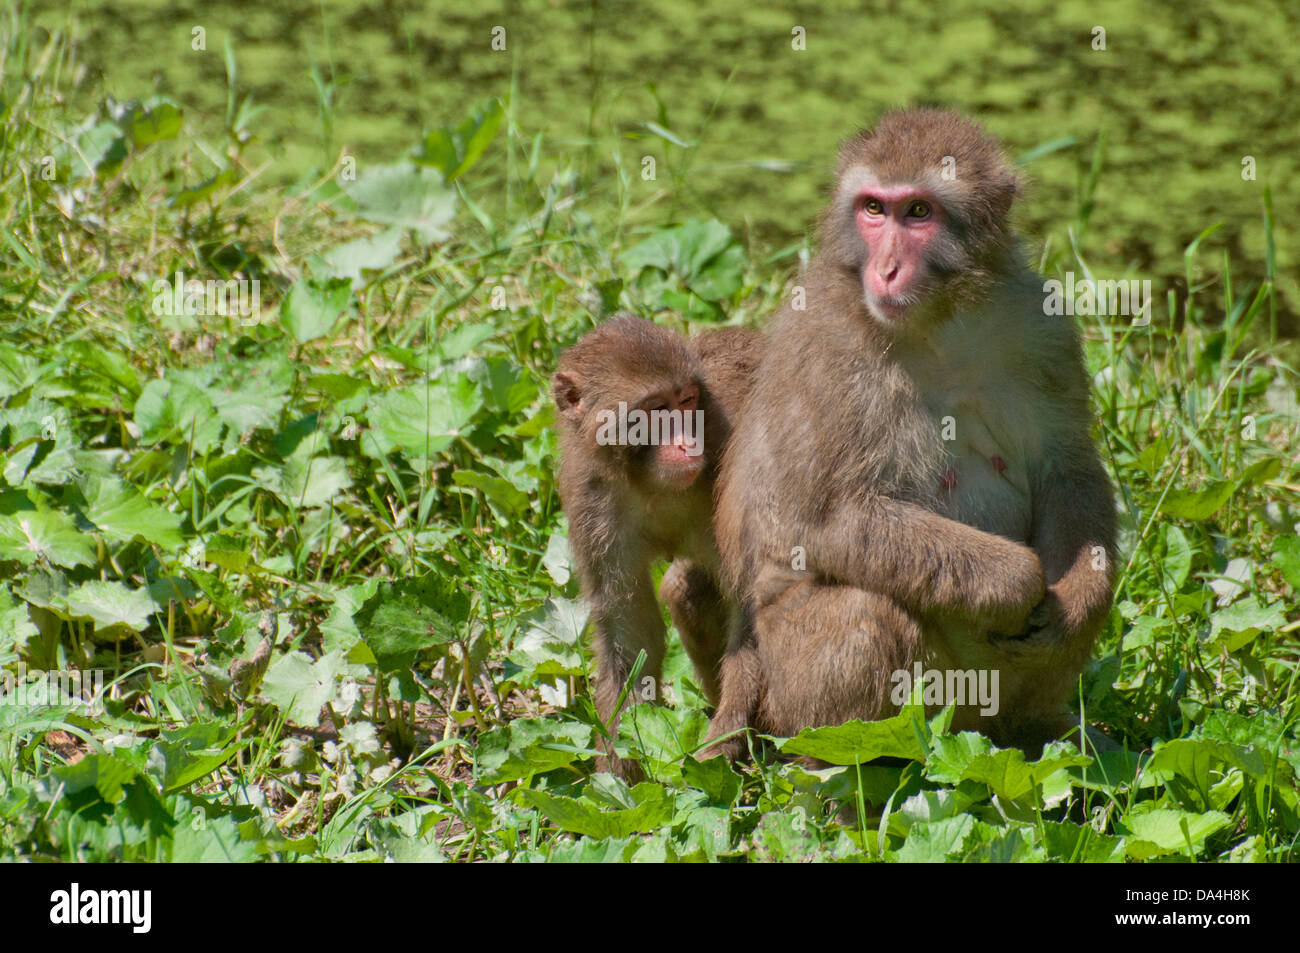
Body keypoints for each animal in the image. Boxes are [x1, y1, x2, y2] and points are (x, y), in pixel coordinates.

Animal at [552, 315, 762, 780]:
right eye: (655, 409)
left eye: (686, 401)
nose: (687, 443)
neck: (650, 480)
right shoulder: (592, 500)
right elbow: (629, 628)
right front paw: (618, 772)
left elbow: (754, 605)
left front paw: (724, 742)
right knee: (684, 594)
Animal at [706, 109, 1117, 765]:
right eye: (874, 209)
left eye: (919, 212)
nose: (886, 269)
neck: (938, 323)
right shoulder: (828, 353)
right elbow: (829, 521)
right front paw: (1017, 579)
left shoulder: (1040, 324)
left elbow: (1069, 466)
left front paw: (1079, 595)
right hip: (794, 677)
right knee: (866, 613)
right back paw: (835, 768)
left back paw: (1045, 734)